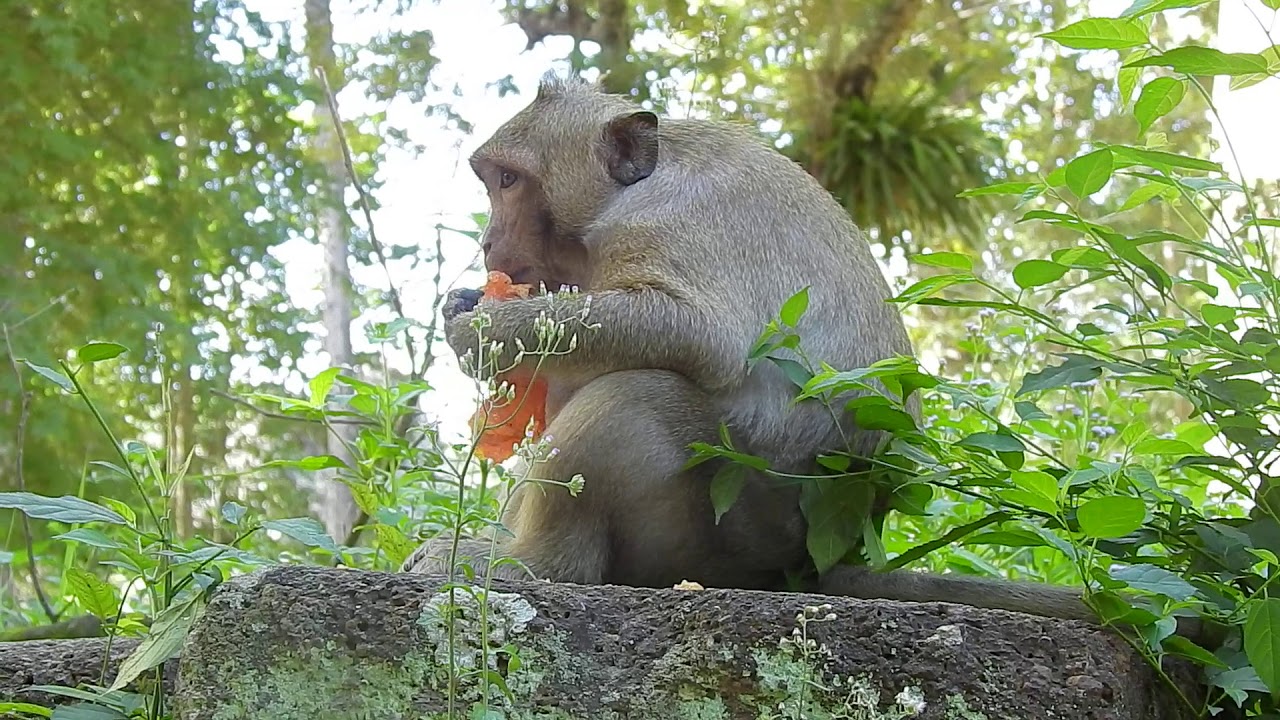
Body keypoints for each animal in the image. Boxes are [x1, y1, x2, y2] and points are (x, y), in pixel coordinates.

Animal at [402, 73, 1210, 643]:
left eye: (509, 181)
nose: (487, 242)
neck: (639, 183)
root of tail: (807, 566)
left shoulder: (671, 223)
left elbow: (690, 332)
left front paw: (486, 329)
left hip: (719, 534)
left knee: (631, 398)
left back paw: (530, 566)